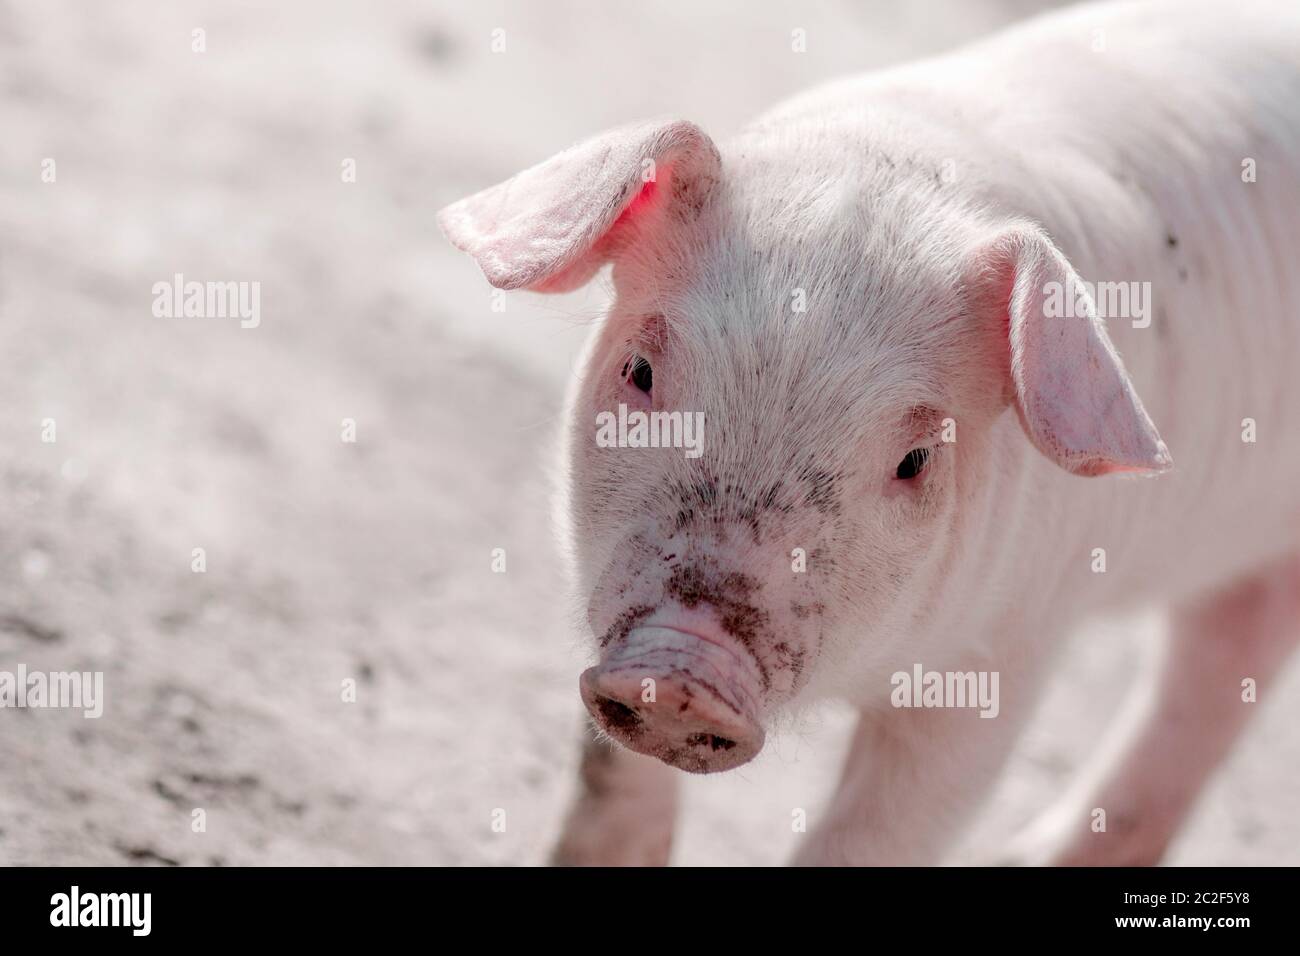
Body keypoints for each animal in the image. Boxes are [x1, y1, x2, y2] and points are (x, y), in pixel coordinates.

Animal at [438, 0, 1300, 865]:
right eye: (640, 371)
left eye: (914, 459)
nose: (684, 670)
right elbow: (610, 769)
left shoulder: (1010, 642)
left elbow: (888, 826)